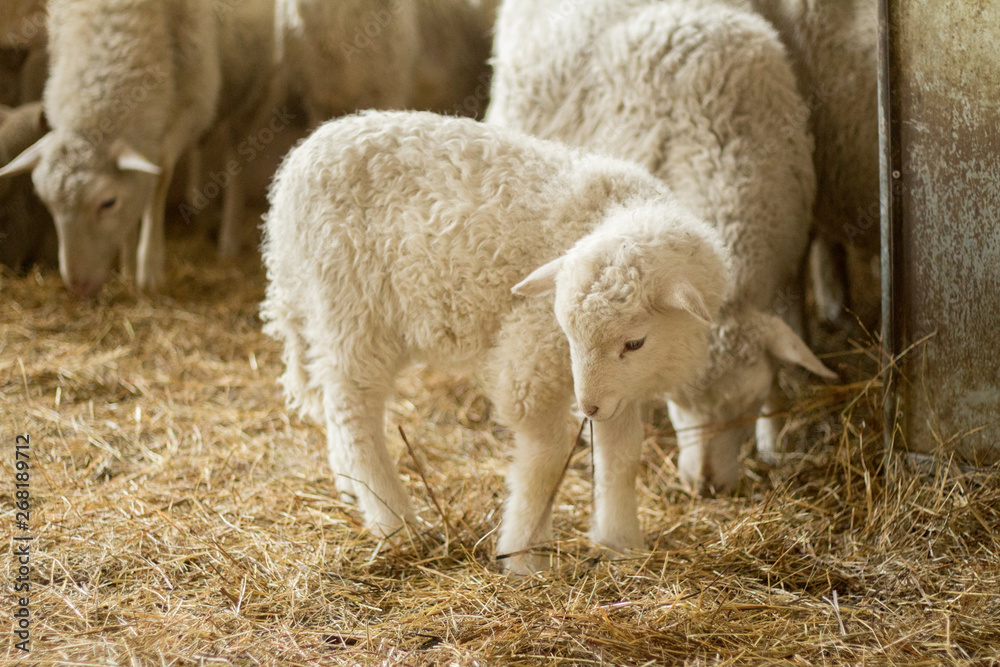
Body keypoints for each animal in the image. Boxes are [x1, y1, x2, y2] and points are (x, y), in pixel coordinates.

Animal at [261, 110, 729, 572]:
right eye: (565, 332)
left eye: (634, 344)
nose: (588, 408)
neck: (612, 208)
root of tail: (295, 169)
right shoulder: (532, 357)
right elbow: (548, 454)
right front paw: (524, 555)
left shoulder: (618, 388)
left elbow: (623, 454)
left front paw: (621, 542)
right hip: (352, 306)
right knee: (352, 412)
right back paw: (395, 523)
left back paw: (350, 489)